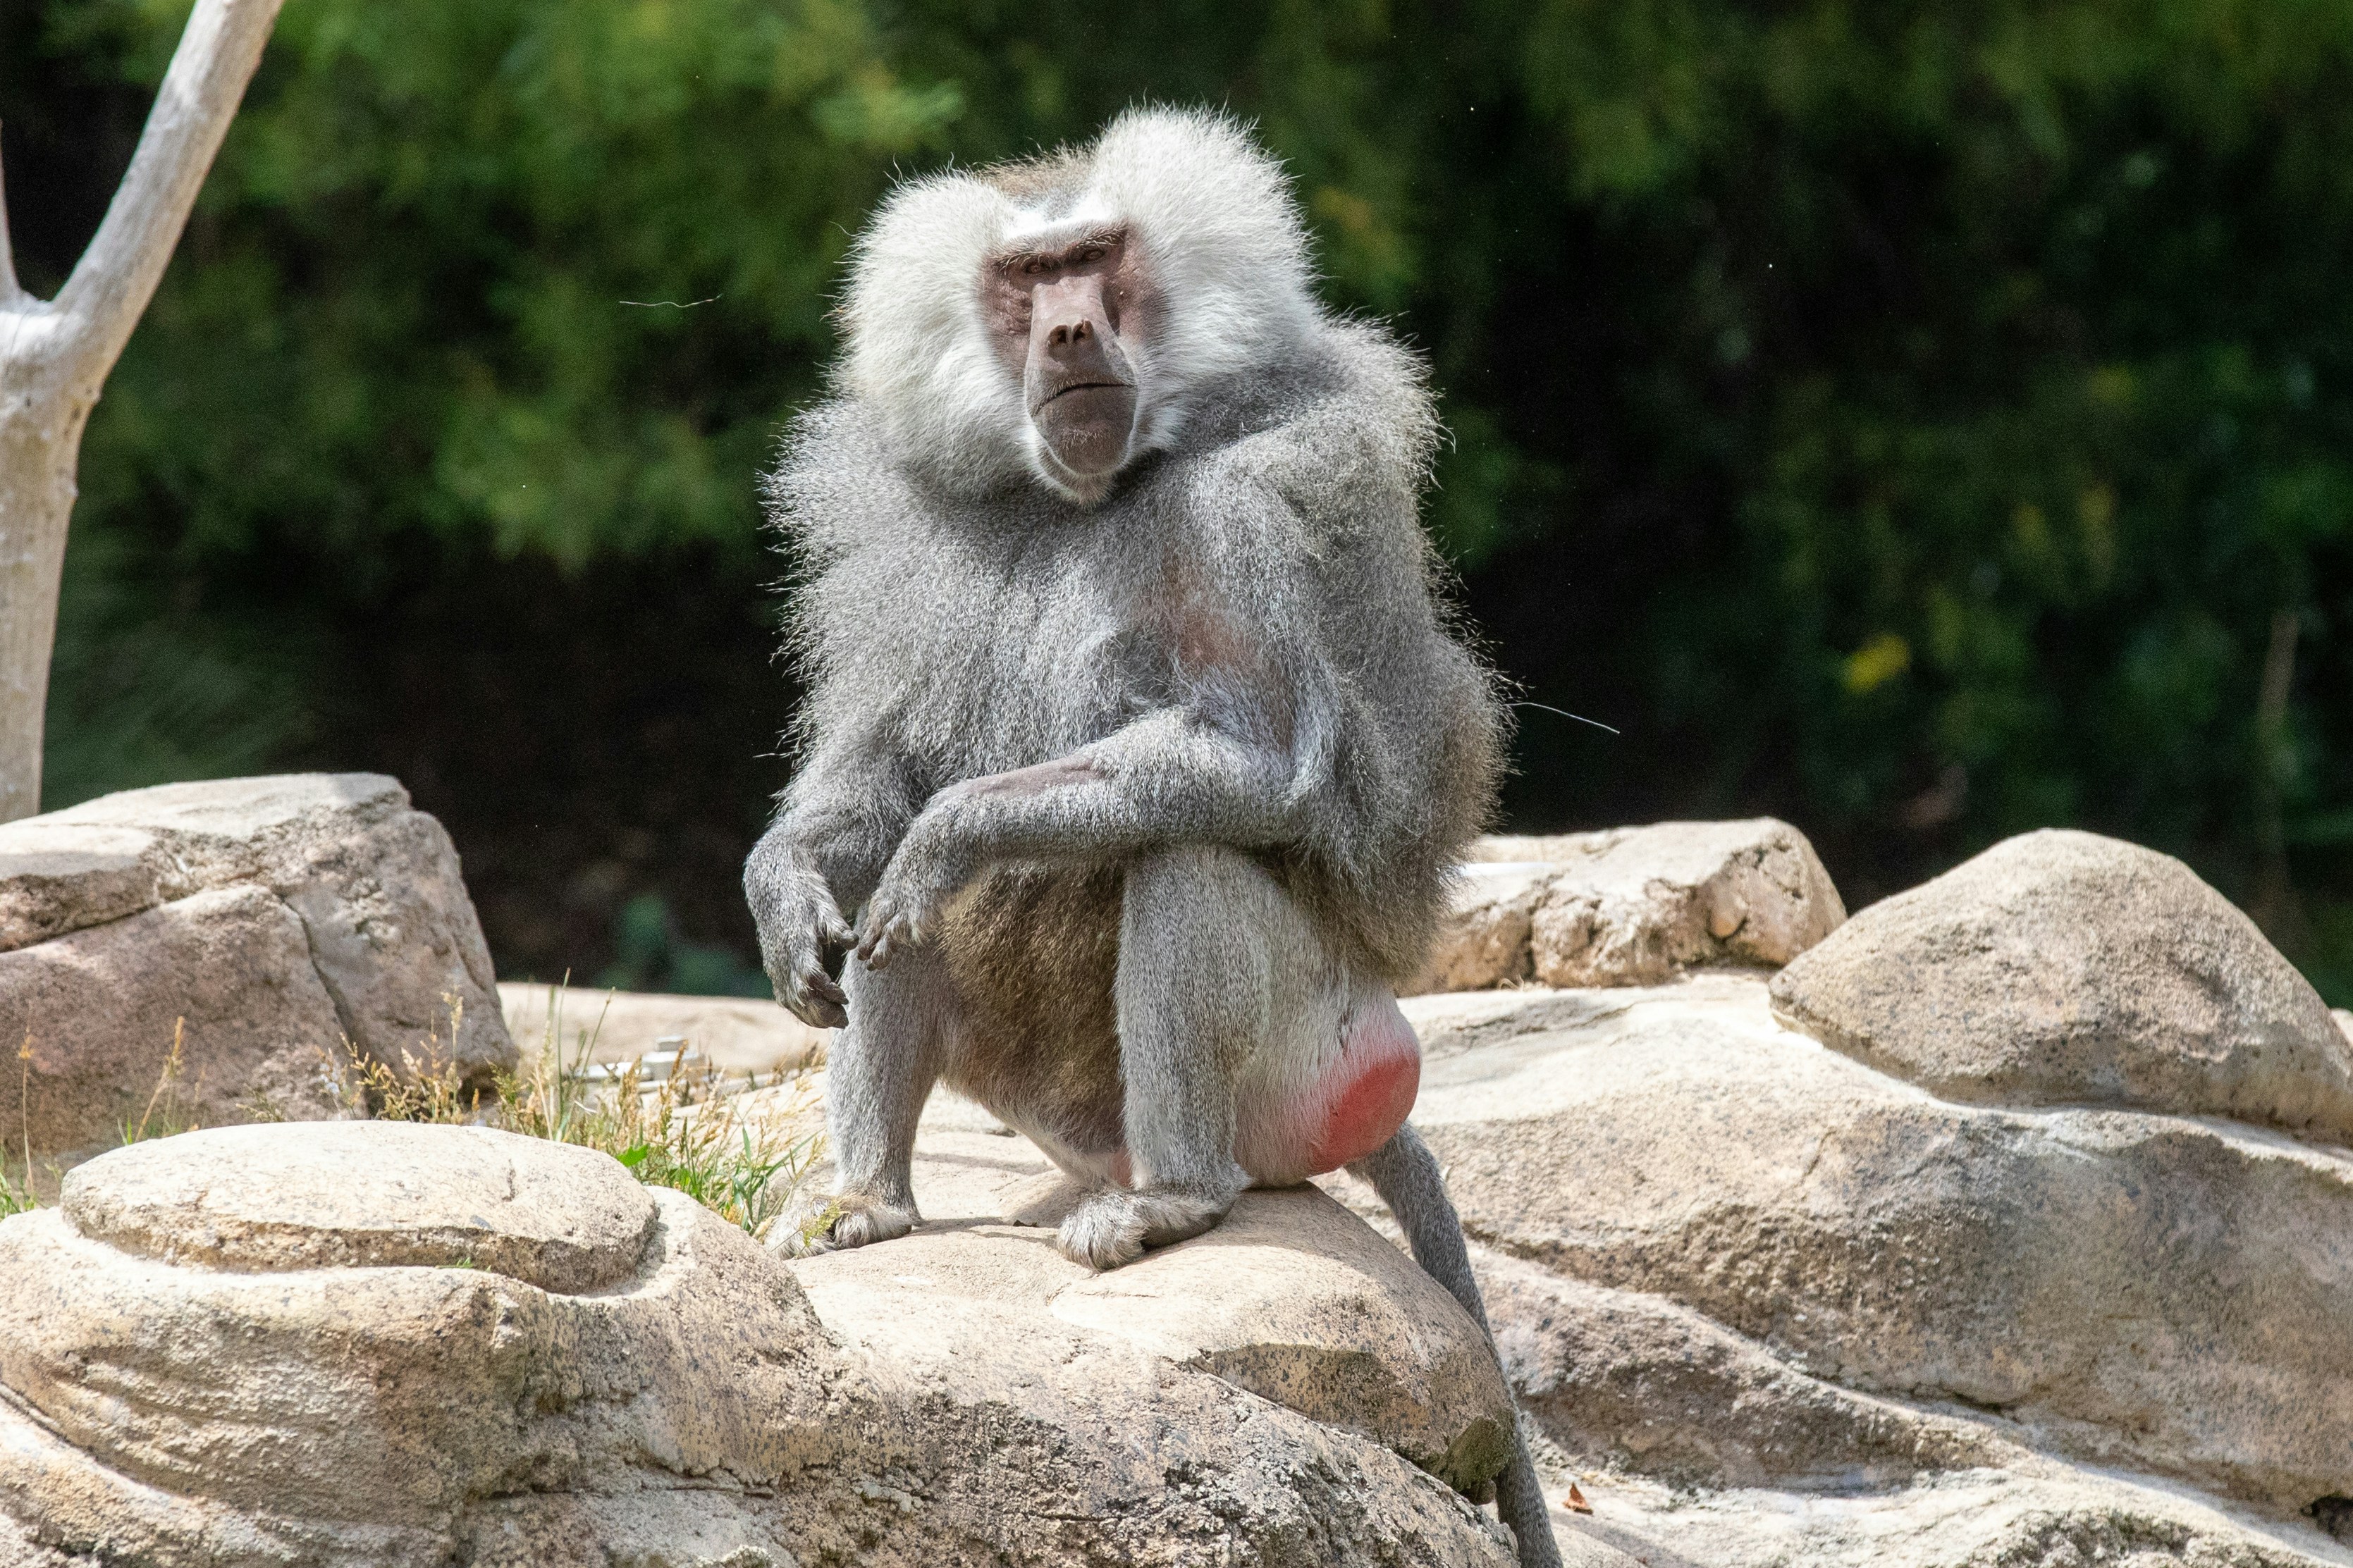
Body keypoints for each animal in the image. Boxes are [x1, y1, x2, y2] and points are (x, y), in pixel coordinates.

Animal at [744, 109, 1562, 1567]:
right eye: (1026, 279)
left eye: (1099, 259)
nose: (1071, 333)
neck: (1081, 499)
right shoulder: (906, 553)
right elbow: (871, 794)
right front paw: (782, 886)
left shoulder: (1252, 509)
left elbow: (1253, 768)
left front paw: (956, 831)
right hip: (1050, 1104)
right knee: (888, 925)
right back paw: (868, 1201)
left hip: (1308, 1058)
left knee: (1180, 861)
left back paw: (1169, 1200)